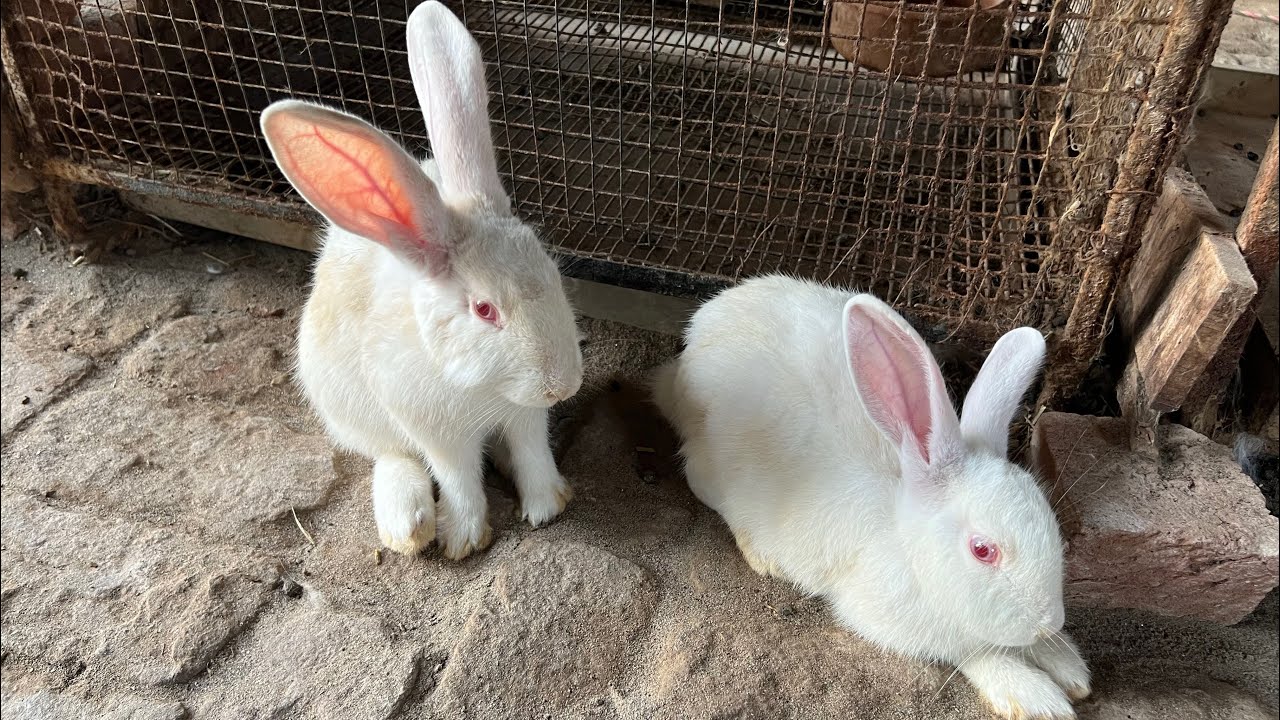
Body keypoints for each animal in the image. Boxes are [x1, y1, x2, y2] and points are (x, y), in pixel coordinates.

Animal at [259, 0, 582, 560]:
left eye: (552, 271)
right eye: (484, 309)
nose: (563, 385)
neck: (481, 389)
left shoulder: (524, 416)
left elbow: (532, 451)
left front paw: (547, 506)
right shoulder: (437, 431)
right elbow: (456, 477)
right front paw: (464, 539)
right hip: (348, 409)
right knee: (390, 455)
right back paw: (406, 523)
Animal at [653, 275, 1090, 719]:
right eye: (983, 550)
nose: (1049, 622)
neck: (908, 543)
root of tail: (695, 340)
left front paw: (1067, 664)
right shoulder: (889, 619)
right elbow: (976, 654)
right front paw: (1036, 697)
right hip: (710, 467)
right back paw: (762, 556)